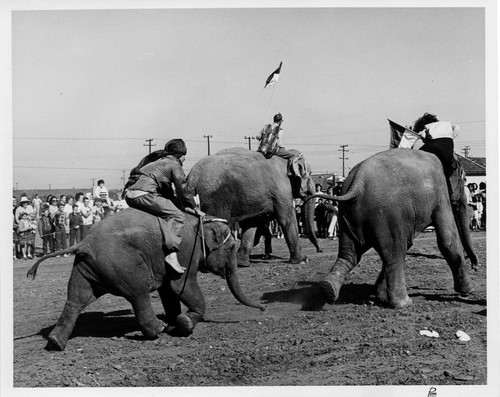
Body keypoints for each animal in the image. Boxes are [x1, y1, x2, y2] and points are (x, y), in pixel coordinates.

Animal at [26, 207, 266, 350]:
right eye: (232, 247)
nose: (263, 308)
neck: (202, 221)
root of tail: (83, 243)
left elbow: (168, 291)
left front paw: (175, 325)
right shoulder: (186, 251)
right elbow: (181, 285)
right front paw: (184, 323)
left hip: (86, 267)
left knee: (75, 299)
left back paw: (56, 343)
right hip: (124, 265)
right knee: (139, 294)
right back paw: (157, 330)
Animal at [184, 147, 320, 268]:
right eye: (310, 174)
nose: (319, 250)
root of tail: (191, 177)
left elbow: (251, 223)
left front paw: (242, 263)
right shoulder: (282, 188)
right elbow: (286, 219)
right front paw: (303, 260)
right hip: (214, 199)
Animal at [312, 147, 476, 308]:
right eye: (464, 180)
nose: (475, 267)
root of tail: (358, 181)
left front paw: (378, 295)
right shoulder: (441, 194)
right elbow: (447, 240)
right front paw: (468, 291)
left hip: (347, 216)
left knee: (350, 254)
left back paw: (329, 289)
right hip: (386, 216)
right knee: (395, 252)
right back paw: (403, 303)